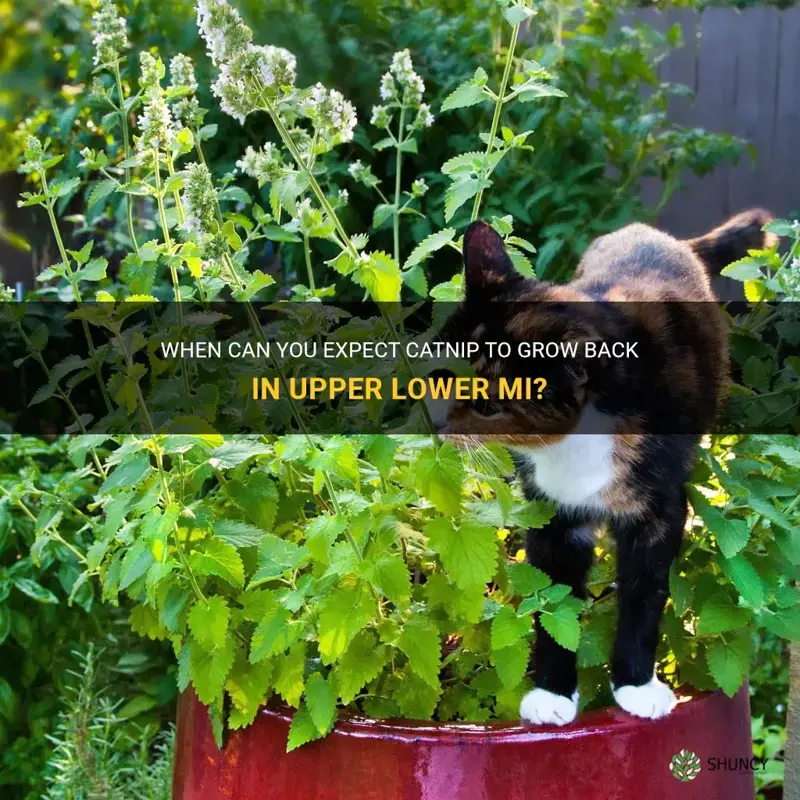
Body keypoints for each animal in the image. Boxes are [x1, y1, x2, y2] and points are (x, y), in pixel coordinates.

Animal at [438, 209, 776, 728]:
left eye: (491, 406)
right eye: (441, 371)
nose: (435, 424)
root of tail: (662, 236)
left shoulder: (660, 509)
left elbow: (645, 592)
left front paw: (637, 686)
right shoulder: (551, 511)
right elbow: (553, 600)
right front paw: (552, 694)